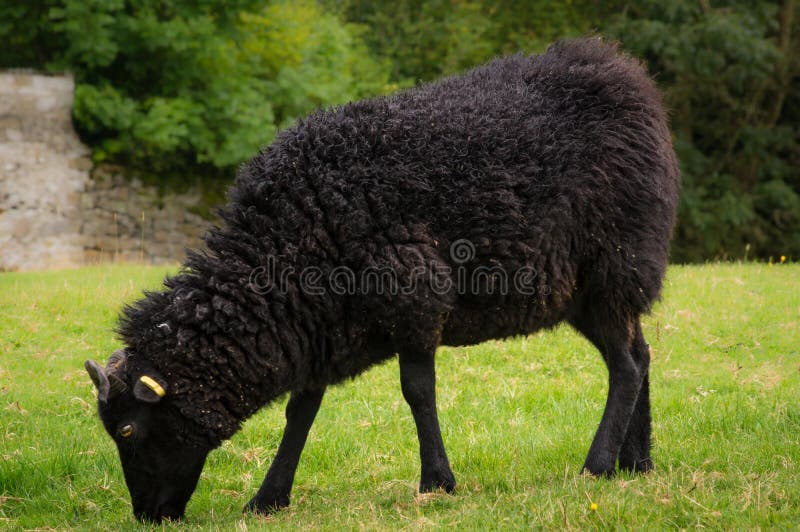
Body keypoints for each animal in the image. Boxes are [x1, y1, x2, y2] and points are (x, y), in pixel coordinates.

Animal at [85, 37, 680, 523]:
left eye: (129, 429)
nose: (149, 517)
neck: (287, 249)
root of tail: (625, 74)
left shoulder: (413, 302)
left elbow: (416, 391)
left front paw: (437, 483)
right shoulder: (318, 327)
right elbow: (301, 411)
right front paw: (269, 498)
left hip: (611, 269)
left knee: (626, 367)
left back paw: (597, 466)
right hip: (586, 292)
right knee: (641, 354)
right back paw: (637, 463)